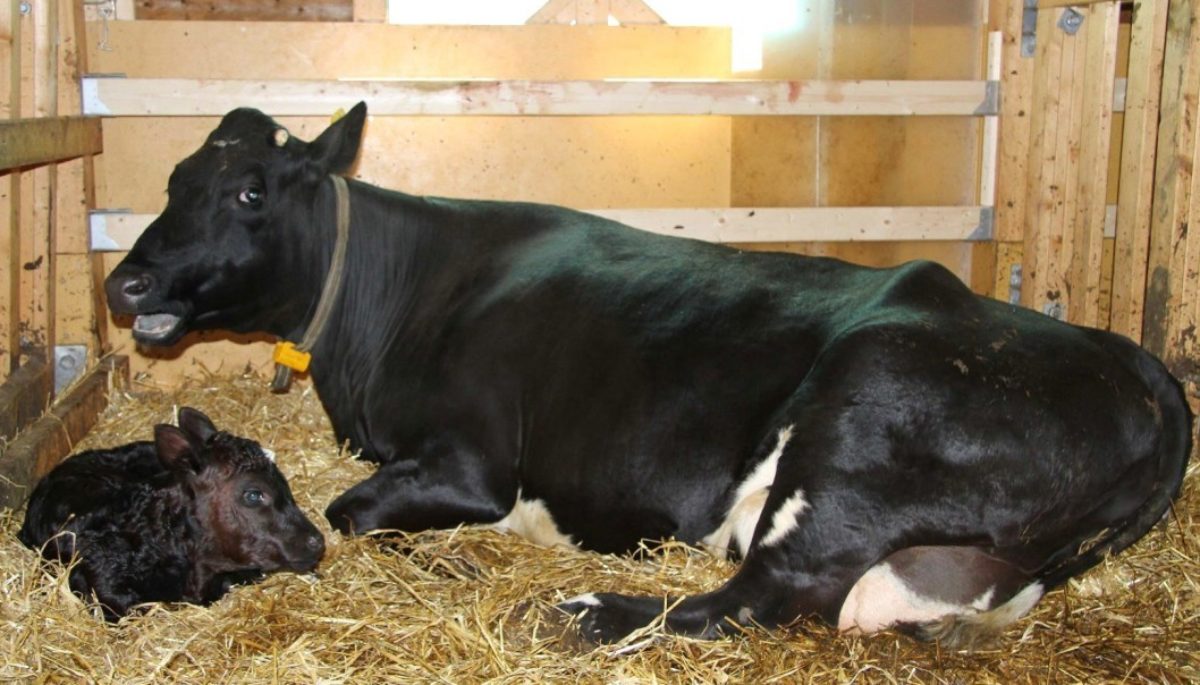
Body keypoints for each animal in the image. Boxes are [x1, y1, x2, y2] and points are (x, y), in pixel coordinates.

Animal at [103, 102, 1192, 645]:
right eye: (173, 179)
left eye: (249, 191)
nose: (125, 280)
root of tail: (1129, 359)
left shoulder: (472, 461)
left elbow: (349, 511)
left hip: (860, 422)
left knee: (762, 595)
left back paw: (589, 611)